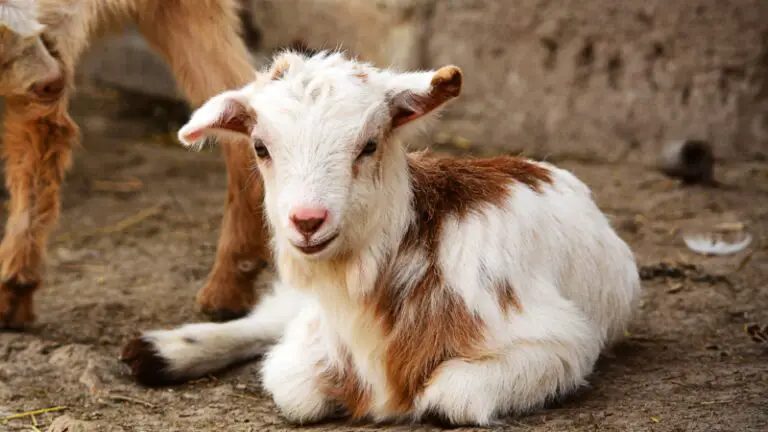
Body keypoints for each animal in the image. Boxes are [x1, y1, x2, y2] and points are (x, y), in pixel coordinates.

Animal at [121, 50, 641, 426]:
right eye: (261, 147)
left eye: (369, 144)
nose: (307, 221)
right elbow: (294, 388)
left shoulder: (557, 341)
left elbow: (450, 398)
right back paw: (158, 352)